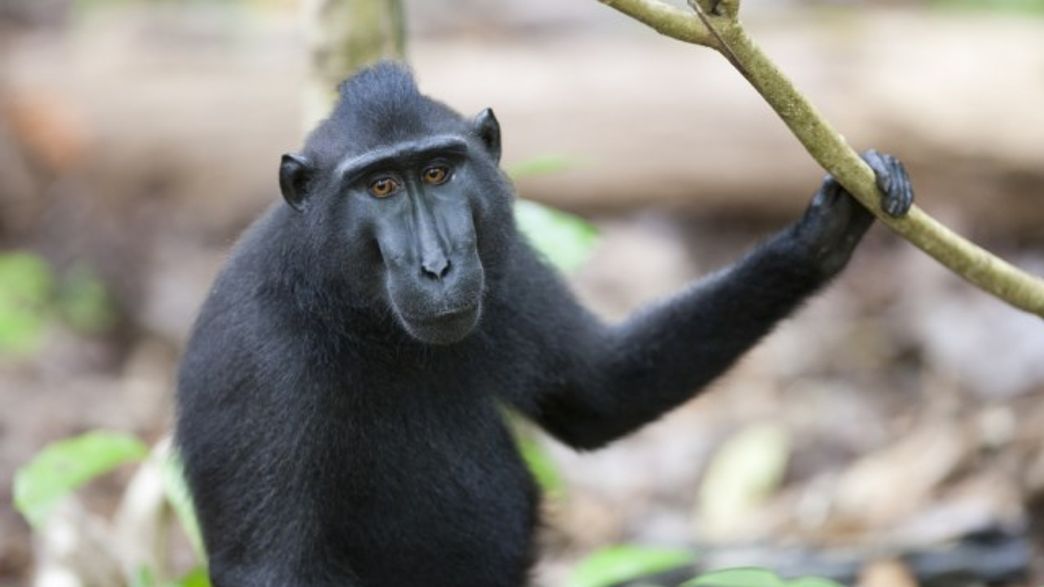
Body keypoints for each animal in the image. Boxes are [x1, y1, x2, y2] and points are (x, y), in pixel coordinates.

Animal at [175, 61, 914, 587]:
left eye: (438, 172)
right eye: (380, 186)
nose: (438, 266)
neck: (358, 316)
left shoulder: (506, 273)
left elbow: (598, 391)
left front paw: (824, 232)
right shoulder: (262, 359)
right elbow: (274, 565)